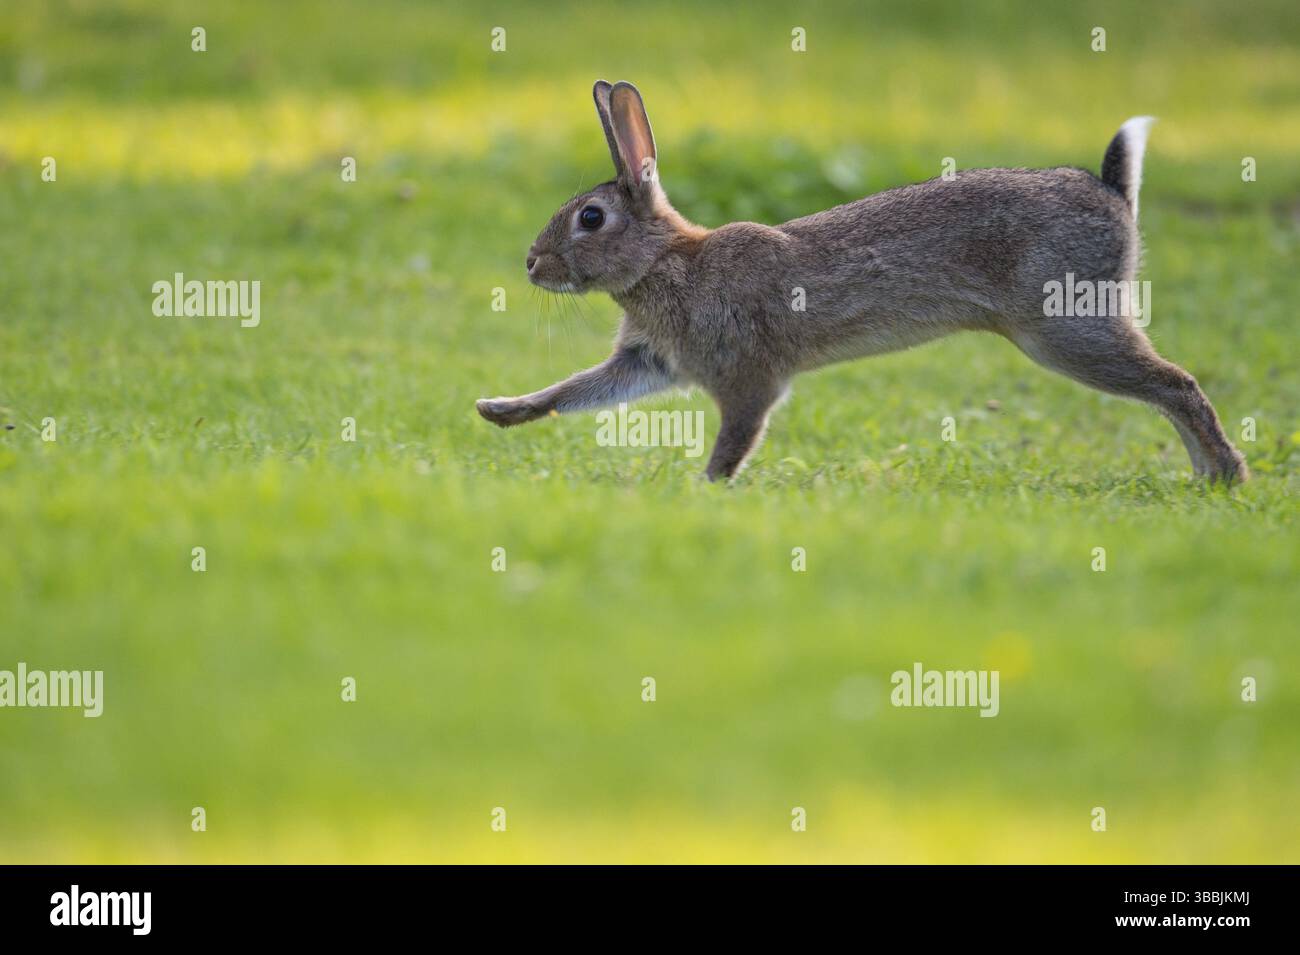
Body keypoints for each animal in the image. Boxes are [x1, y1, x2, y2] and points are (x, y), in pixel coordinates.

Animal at [477, 80, 1248, 484]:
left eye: (591, 217)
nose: (531, 264)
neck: (668, 260)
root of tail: (1116, 194)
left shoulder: (747, 378)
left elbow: (736, 437)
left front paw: (705, 490)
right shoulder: (648, 361)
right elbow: (576, 391)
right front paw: (500, 410)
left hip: (1066, 327)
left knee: (1177, 384)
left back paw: (1223, 474)